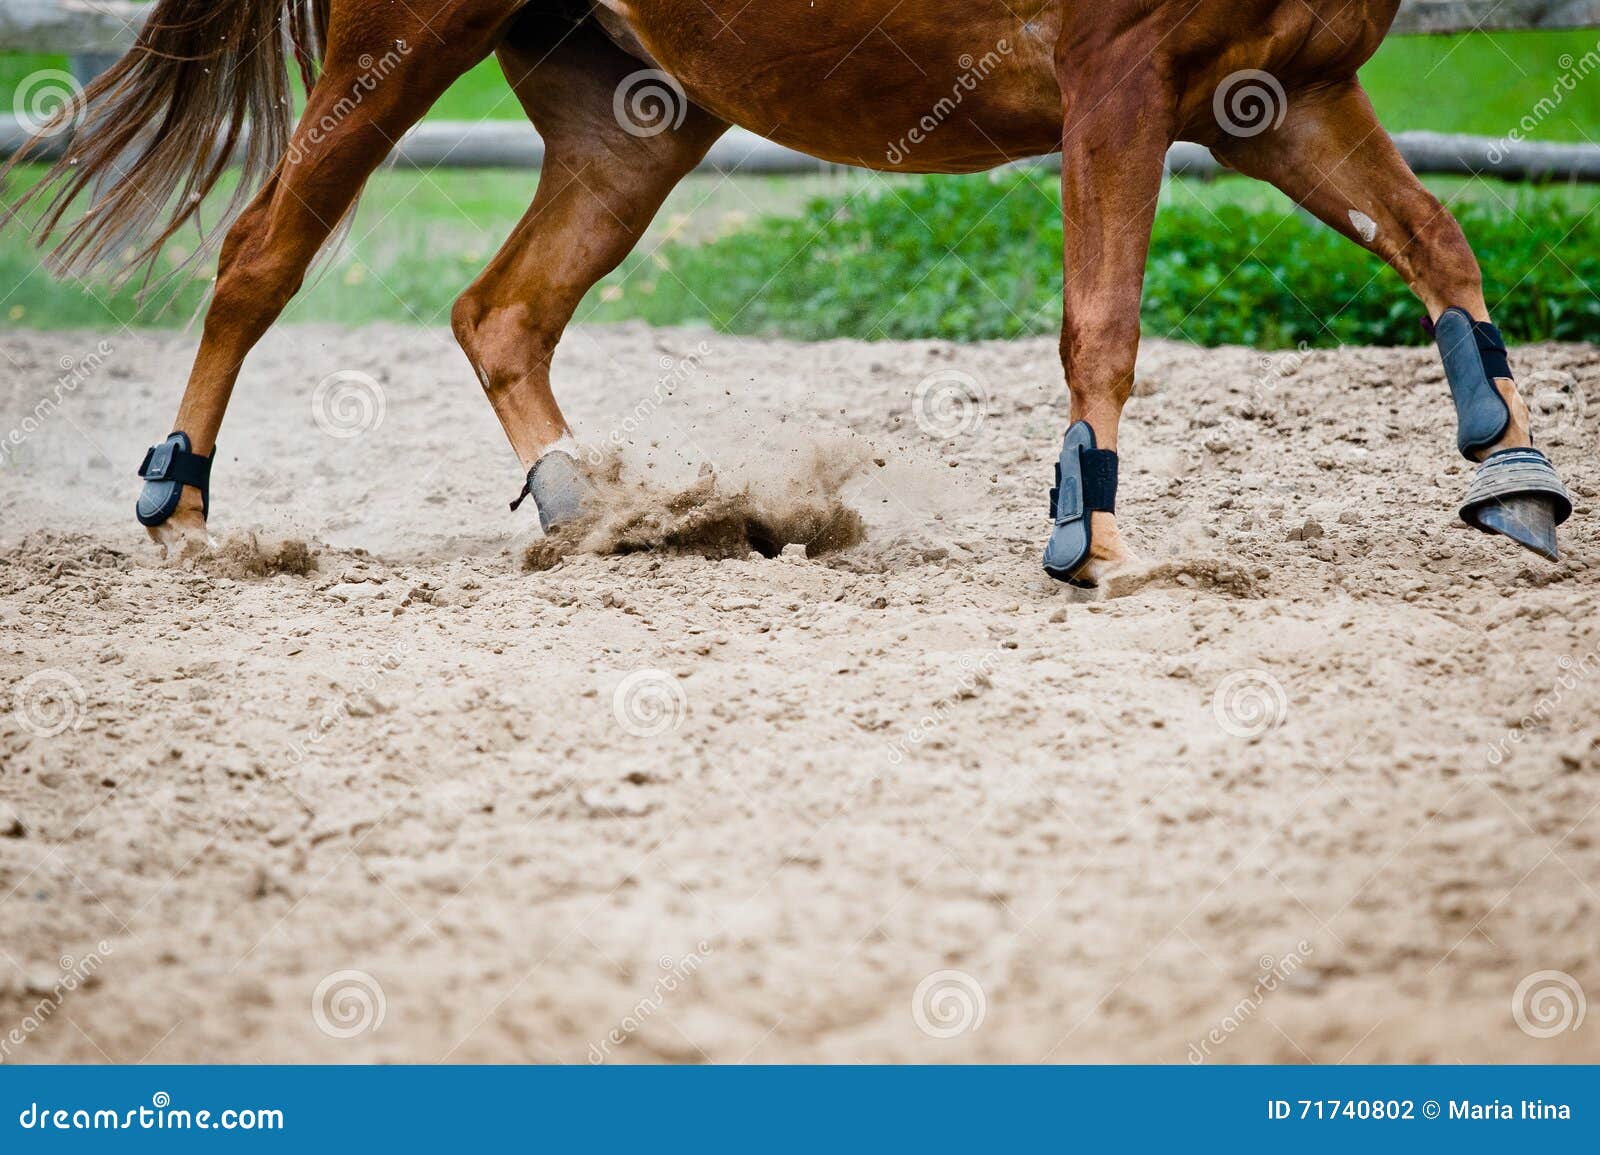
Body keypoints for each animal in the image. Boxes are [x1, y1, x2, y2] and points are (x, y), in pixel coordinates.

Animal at [6, 0, 1572, 584]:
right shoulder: (1121, 82)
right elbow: (1104, 321)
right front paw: (1096, 537)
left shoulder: (1281, 95)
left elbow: (1439, 245)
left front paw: (1517, 474)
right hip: (400, 45)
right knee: (260, 255)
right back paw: (181, 502)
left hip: (631, 122)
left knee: (502, 310)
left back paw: (593, 513)